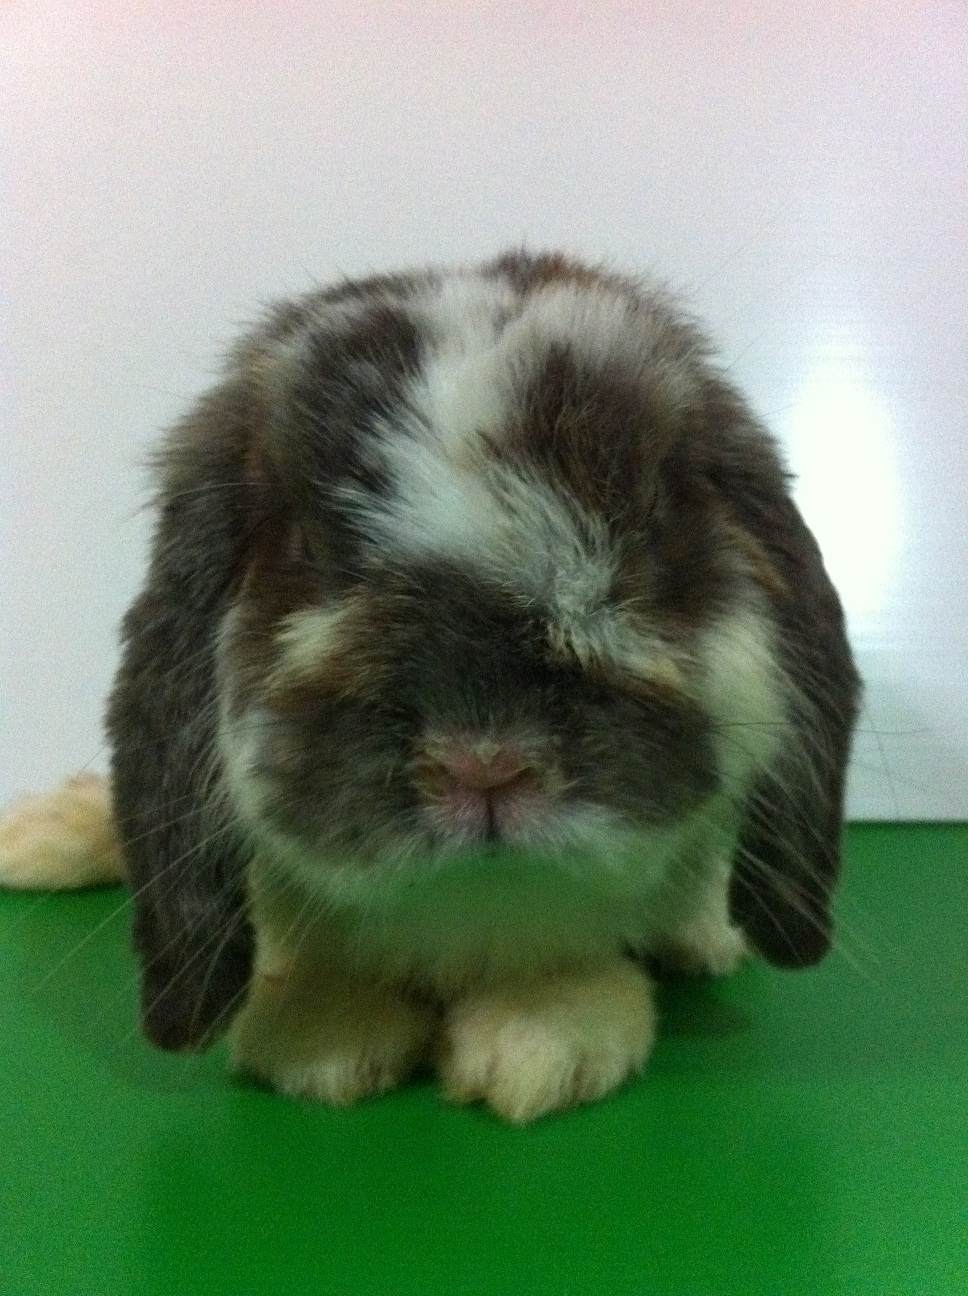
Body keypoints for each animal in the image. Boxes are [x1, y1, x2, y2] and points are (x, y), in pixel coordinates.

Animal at [0, 251, 860, 1122]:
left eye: (651, 518)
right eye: (305, 545)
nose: (484, 764)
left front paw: (540, 1040)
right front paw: (321, 1034)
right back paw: (36, 834)